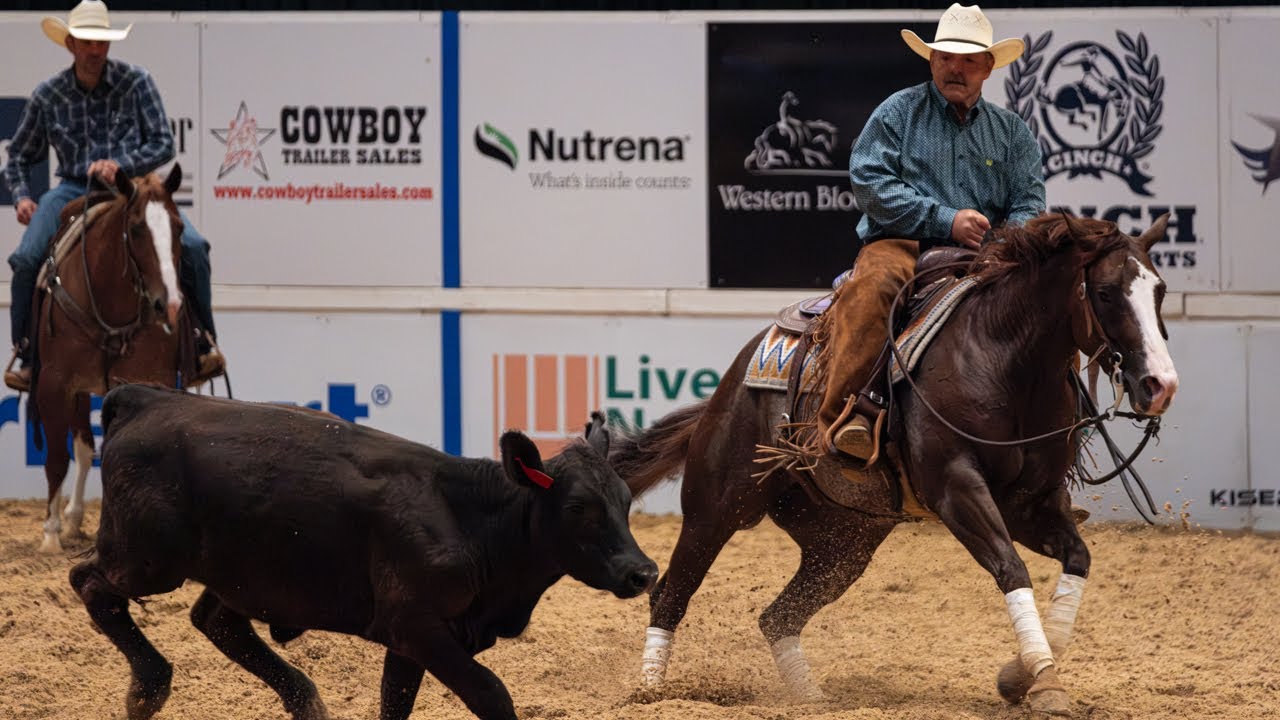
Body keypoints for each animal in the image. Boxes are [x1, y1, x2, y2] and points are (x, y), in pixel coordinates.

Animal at [28, 164, 193, 554]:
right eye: (136, 228)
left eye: (179, 227)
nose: (170, 305)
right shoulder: (54, 384)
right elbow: (57, 459)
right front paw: (50, 535)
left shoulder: (151, 378)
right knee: (80, 446)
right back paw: (67, 519)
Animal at [609, 213, 1178, 717]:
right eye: (1106, 292)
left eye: (1160, 291)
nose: (1160, 385)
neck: (1005, 363)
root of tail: (730, 383)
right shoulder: (956, 489)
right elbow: (1012, 569)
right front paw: (1043, 683)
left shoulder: (1030, 505)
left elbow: (1078, 558)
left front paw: (1023, 676)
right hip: (716, 508)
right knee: (670, 596)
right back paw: (650, 691)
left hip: (843, 545)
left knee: (777, 619)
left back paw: (809, 697)